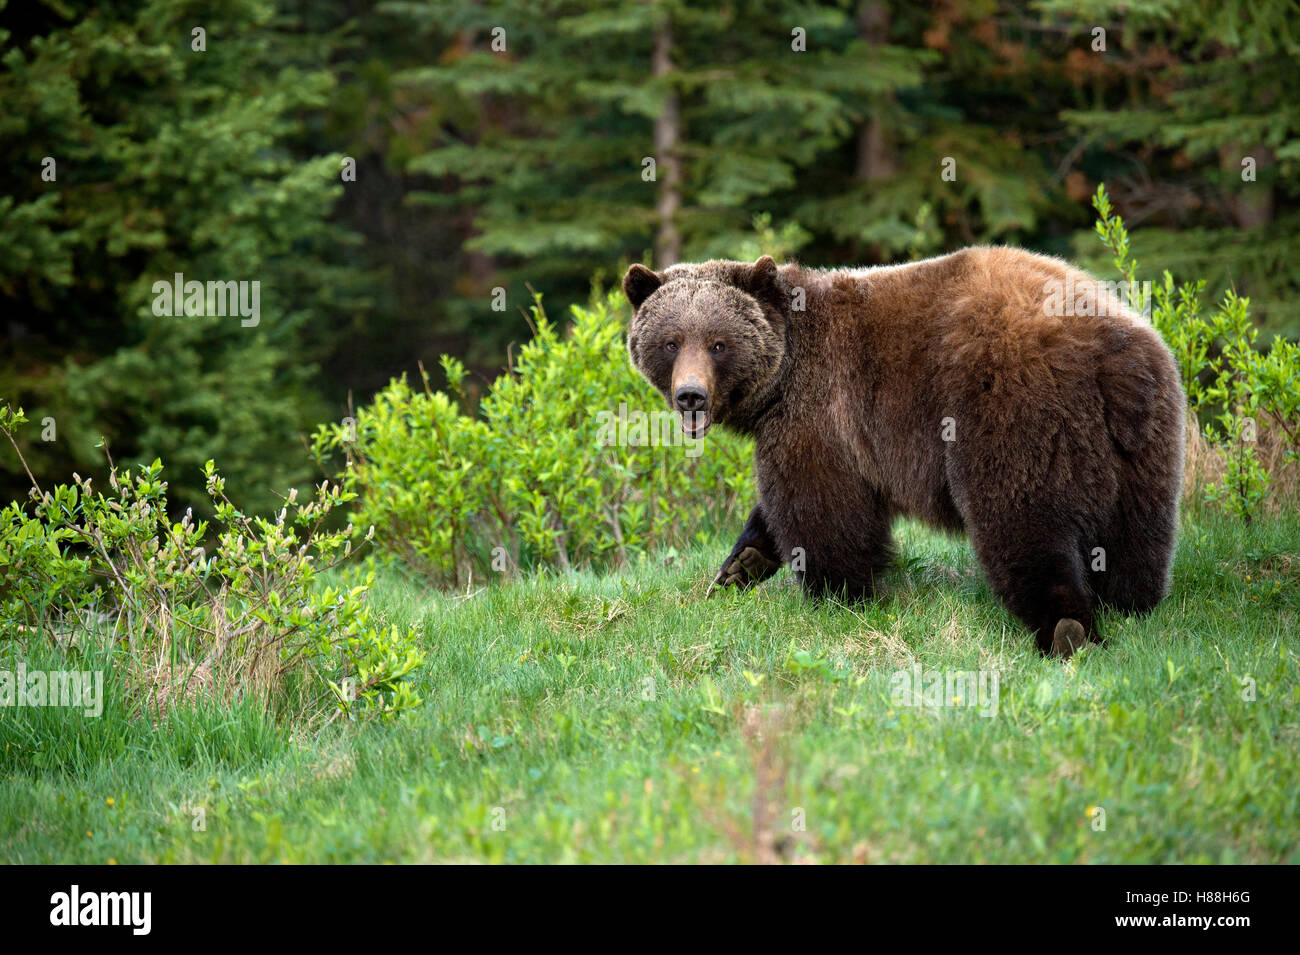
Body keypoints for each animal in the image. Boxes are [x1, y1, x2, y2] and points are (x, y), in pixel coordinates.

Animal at [623, 248, 1186, 657]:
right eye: (671, 341)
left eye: (718, 343)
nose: (690, 395)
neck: (779, 383)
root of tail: (1106, 355)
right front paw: (739, 566)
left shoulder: (823, 413)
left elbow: (822, 510)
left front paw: (839, 595)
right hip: (1142, 437)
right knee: (1137, 533)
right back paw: (1131, 605)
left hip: (1011, 409)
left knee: (1023, 520)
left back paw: (1067, 630)